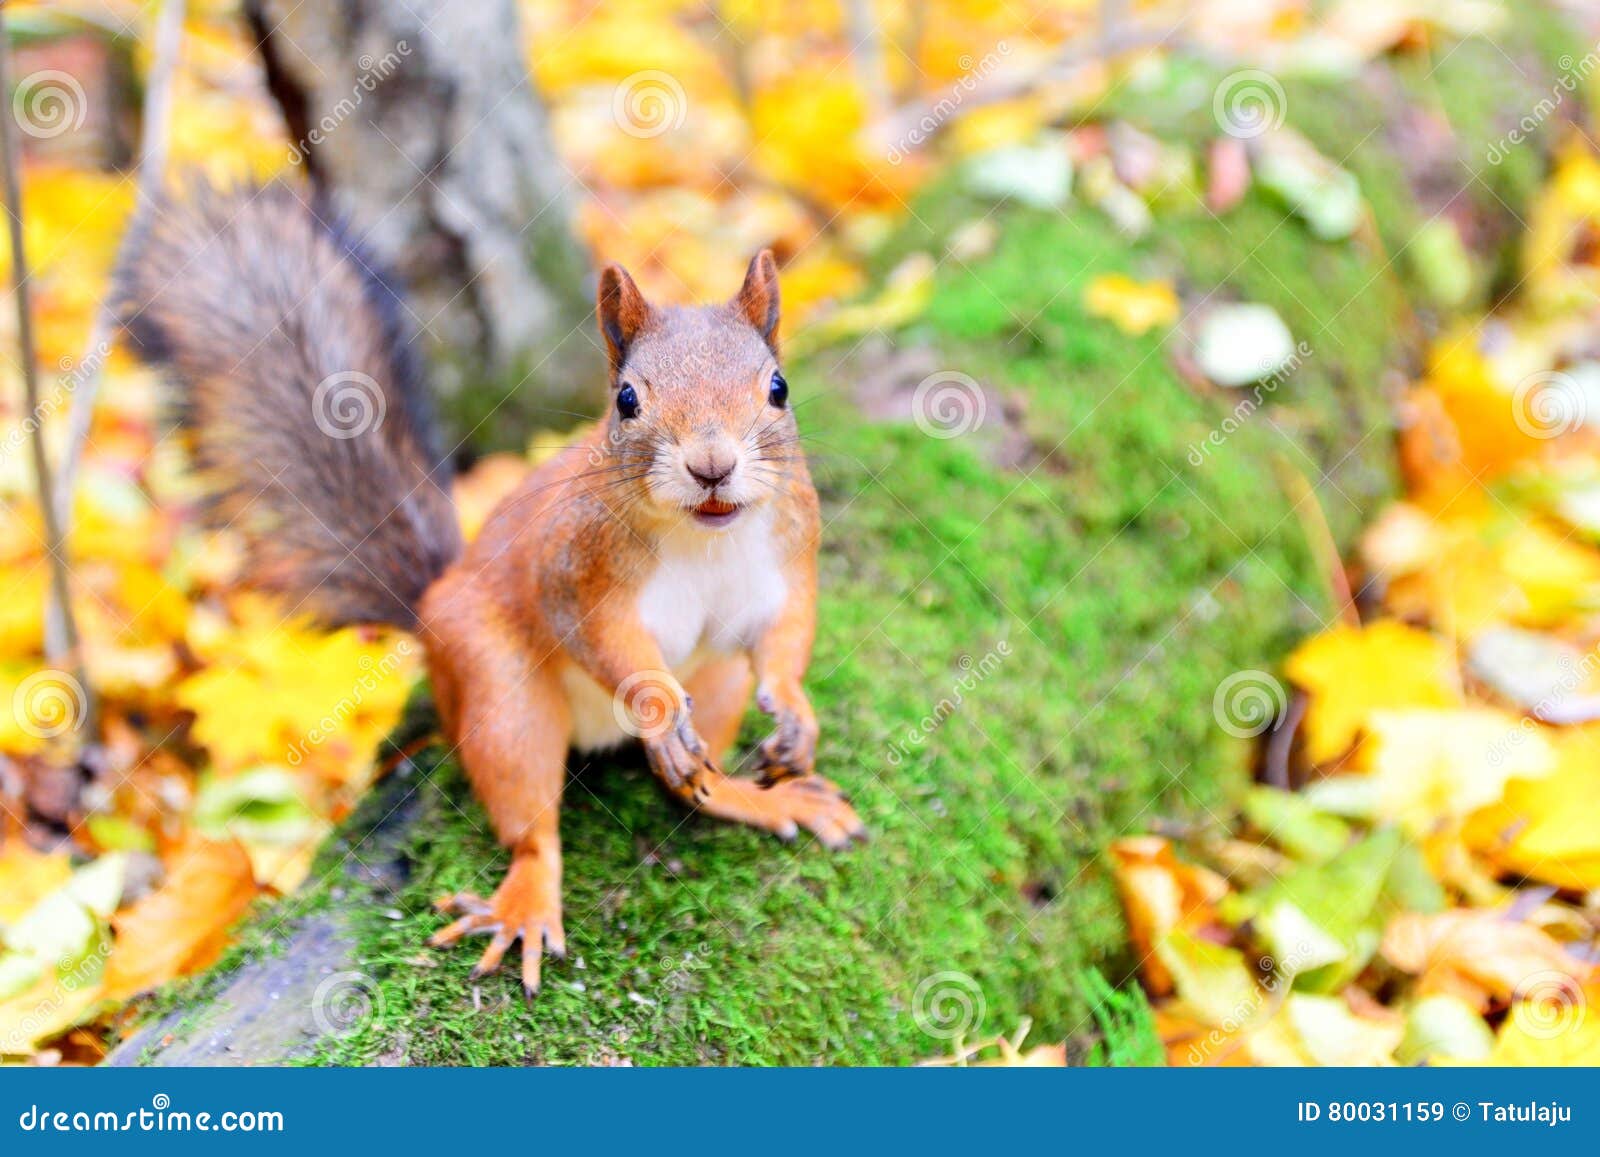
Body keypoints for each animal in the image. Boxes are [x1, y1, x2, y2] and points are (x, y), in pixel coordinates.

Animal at [114, 182, 866, 996]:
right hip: (503, 698)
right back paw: (526, 903)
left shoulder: (787, 561)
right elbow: (605, 641)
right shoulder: (572, 567)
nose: (712, 465)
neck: (706, 537)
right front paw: (661, 708)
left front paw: (796, 716)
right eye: (626, 400)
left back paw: (757, 794)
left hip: (720, 680)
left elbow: (787, 637)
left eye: (778, 388)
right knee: (533, 827)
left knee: (692, 785)